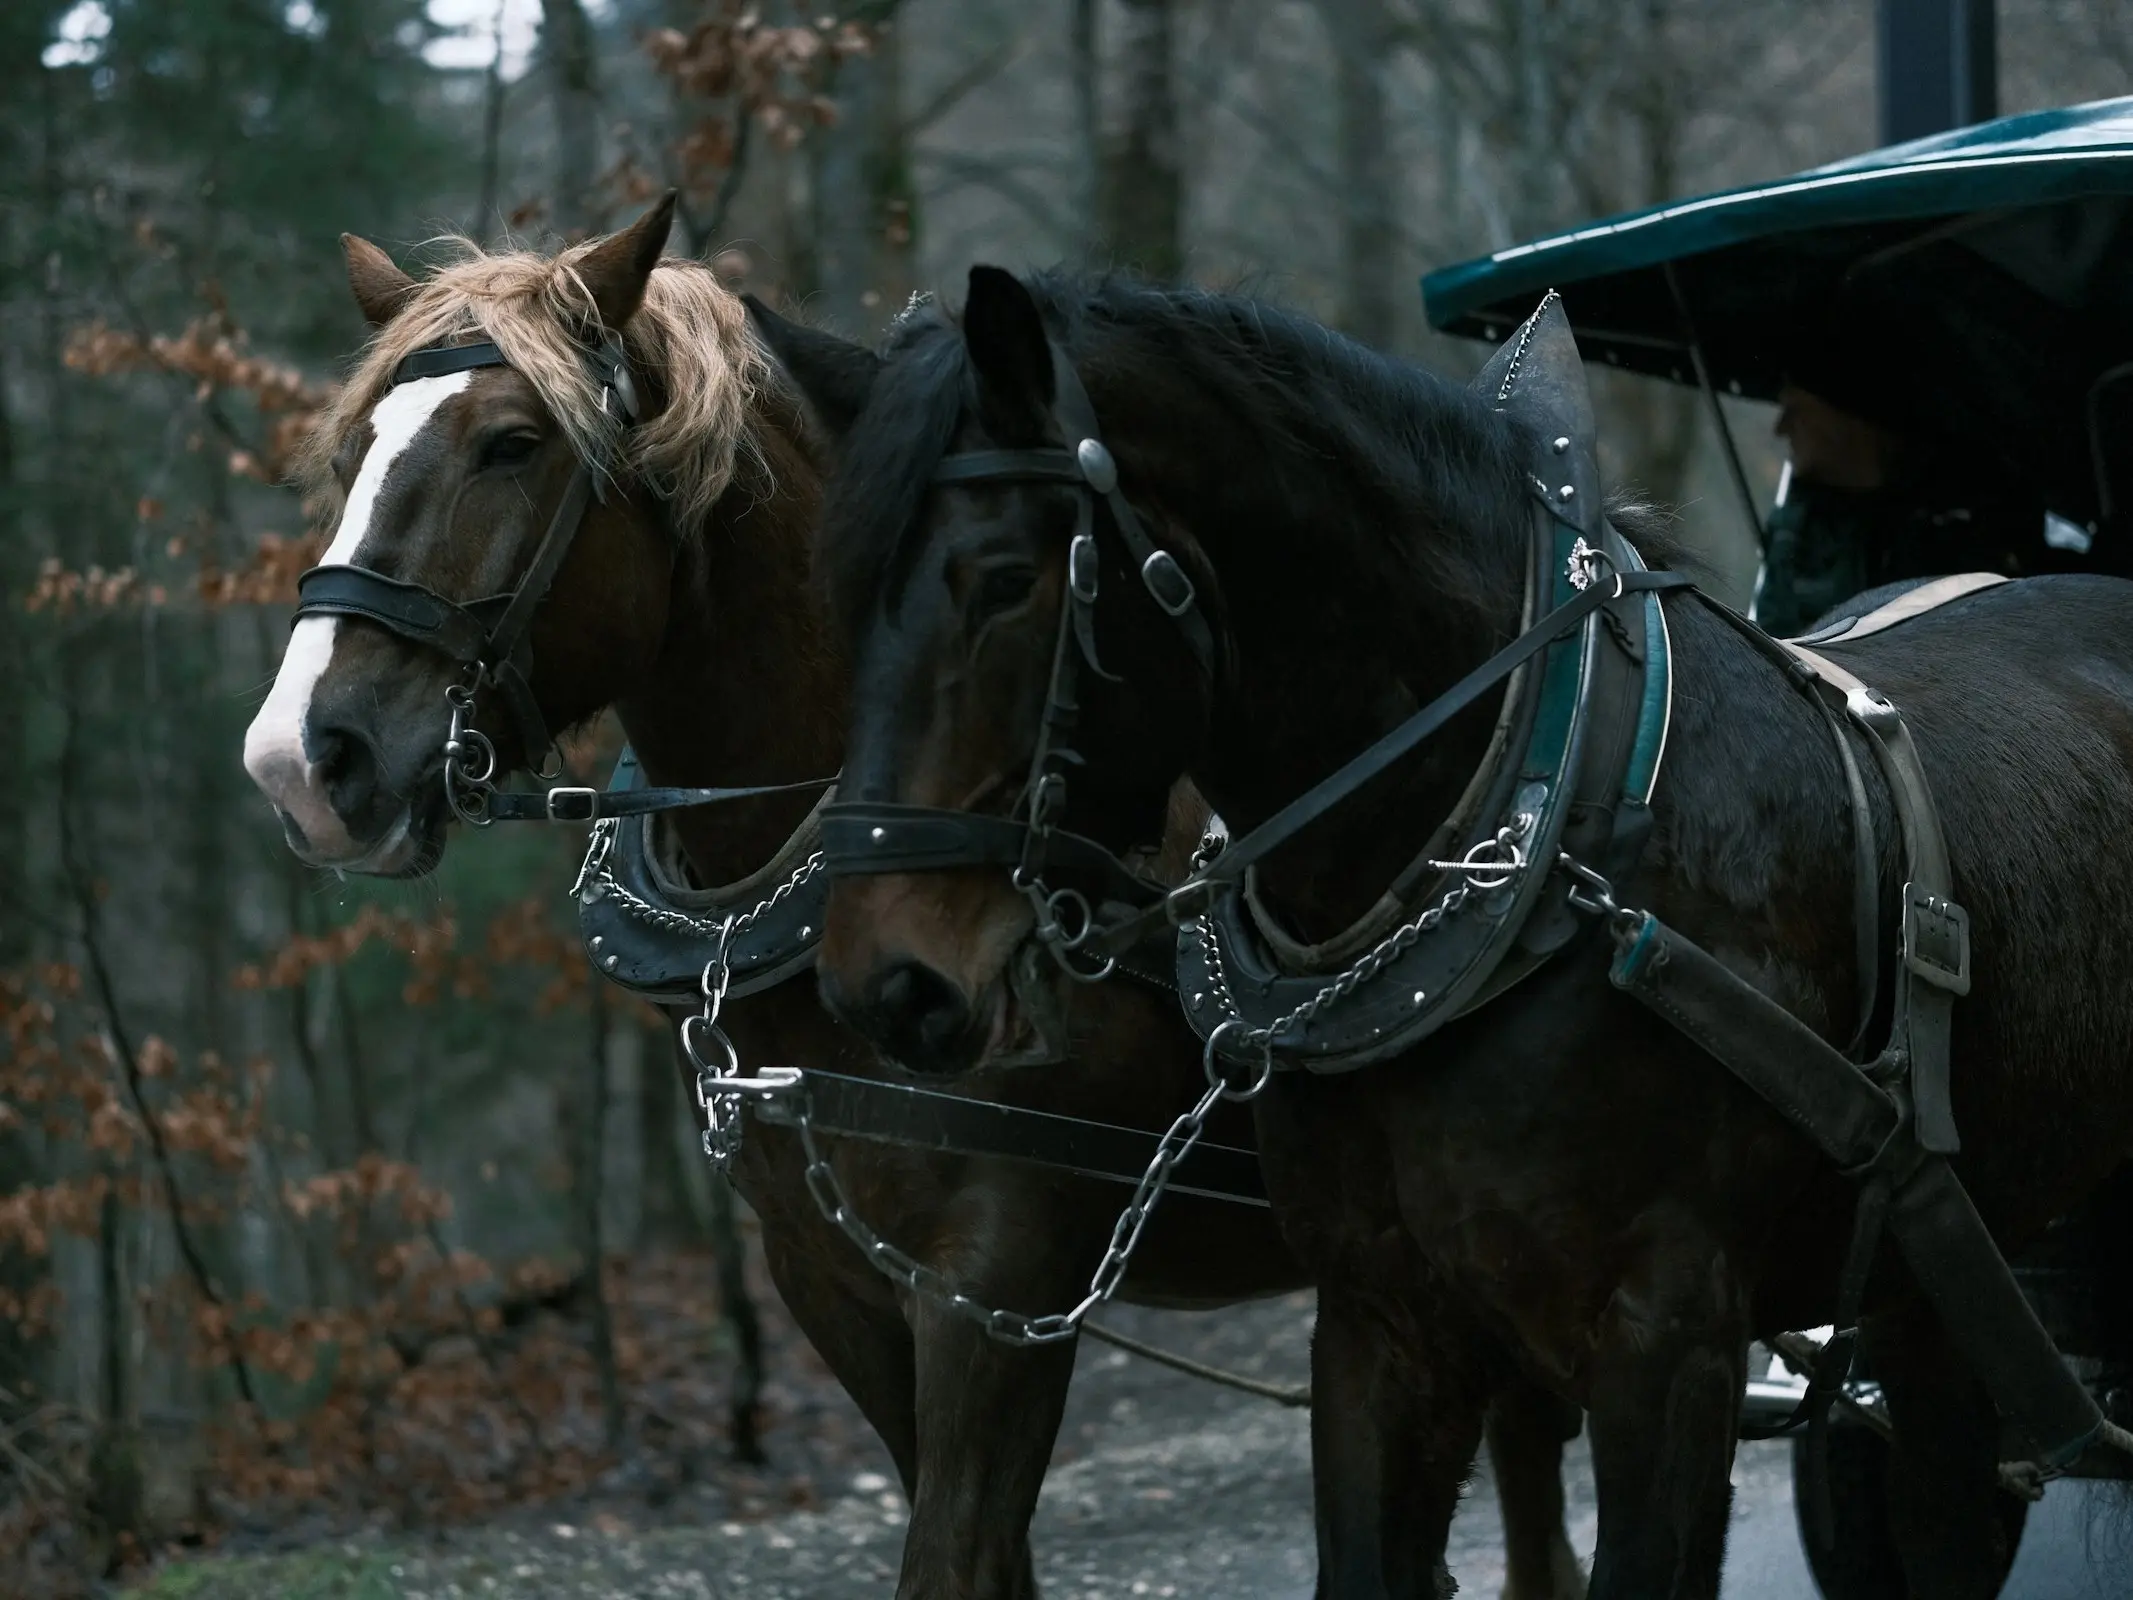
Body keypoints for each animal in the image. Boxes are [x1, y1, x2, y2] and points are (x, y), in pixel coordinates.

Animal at [237, 203, 1590, 1599]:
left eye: (511, 444)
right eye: (358, 449)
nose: (303, 760)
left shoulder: (1001, 1274)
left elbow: (952, 1552)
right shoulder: (830, 1273)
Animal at [762, 263, 2133, 1598]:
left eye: (1004, 581)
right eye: (835, 598)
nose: (884, 983)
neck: (1540, 841)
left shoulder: (1670, 1337)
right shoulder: (1383, 1324)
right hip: (1935, 1271)